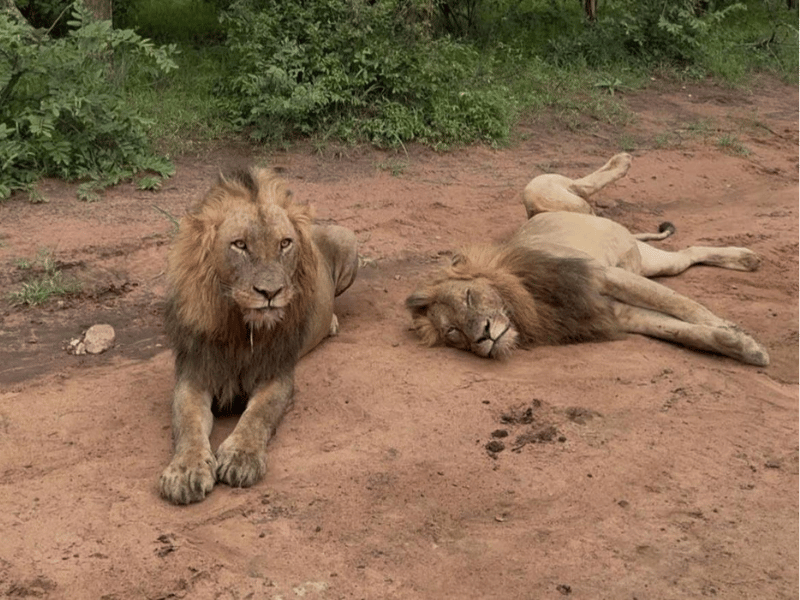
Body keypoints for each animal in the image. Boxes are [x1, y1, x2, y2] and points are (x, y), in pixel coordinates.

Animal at [159, 167, 358, 504]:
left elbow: (258, 416)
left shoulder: (276, 375)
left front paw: (241, 458)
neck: (241, 330)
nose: (270, 292)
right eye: (239, 245)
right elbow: (187, 423)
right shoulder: (194, 374)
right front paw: (185, 472)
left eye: (285, 244)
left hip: (349, 240)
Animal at [406, 153, 769, 366]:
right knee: (687, 254)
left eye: (469, 296)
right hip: (649, 262)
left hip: (541, 194)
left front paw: (727, 327)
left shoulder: (604, 276)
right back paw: (745, 259)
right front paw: (745, 348)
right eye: (453, 332)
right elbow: (683, 331)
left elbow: (683, 305)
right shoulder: (620, 315)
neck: (529, 301)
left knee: (577, 186)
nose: (483, 337)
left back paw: (620, 161)